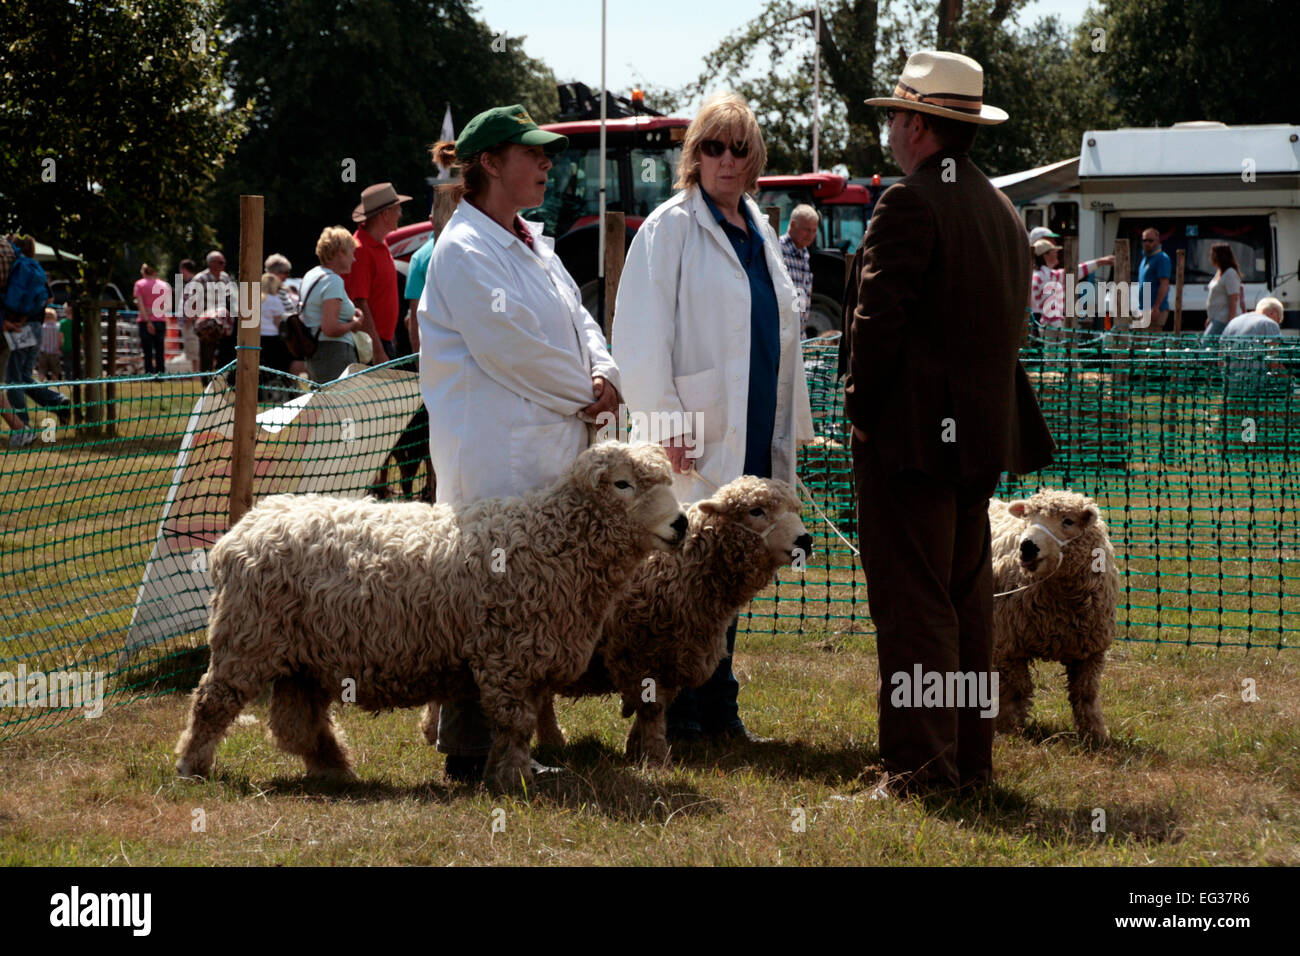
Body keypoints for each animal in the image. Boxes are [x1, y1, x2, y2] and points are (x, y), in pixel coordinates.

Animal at [174, 441, 687, 792]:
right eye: (622, 484)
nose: (680, 524)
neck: (550, 540)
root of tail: (244, 527)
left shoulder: (530, 656)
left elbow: (525, 720)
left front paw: (506, 772)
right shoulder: (506, 658)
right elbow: (516, 724)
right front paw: (514, 779)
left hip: (302, 656)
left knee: (294, 722)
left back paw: (335, 768)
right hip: (248, 638)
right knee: (212, 703)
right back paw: (192, 766)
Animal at [532, 476, 813, 764]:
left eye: (796, 509)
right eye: (756, 511)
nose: (806, 539)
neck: (684, 568)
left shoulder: (673, 656)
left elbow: (658, 706)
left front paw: (636, 747)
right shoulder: (641, 653)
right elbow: (653, 707)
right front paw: (656, 756)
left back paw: (552, 744)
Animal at [989, 488, 1119, 744]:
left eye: (1067, 521)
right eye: (1028, 517)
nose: (1027, 547)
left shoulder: (1092, 651)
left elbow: (1086, 693)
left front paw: (1095, 735)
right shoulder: (1007, 645)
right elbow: (1017, 689)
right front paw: (1009, 729)